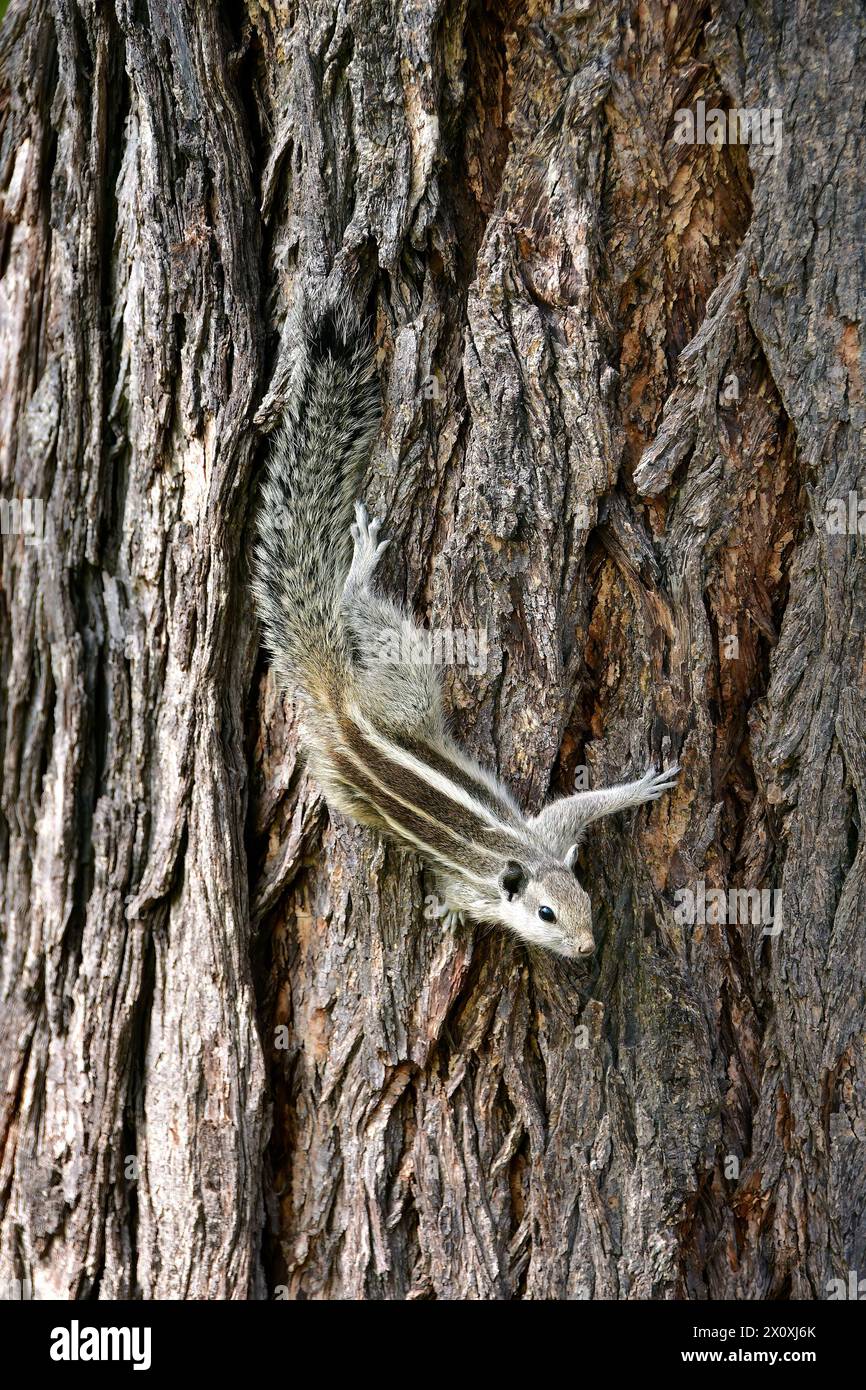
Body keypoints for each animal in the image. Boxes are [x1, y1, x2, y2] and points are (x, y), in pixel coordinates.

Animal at [252, 299, 679, 959]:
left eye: (584, 898)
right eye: (546, 914)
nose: (586, 949)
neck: (517, 860)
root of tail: (344, 713)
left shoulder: (547, 834)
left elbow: (583, 805)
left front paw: (637, 789)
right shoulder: (493, 870)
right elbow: (533, 838)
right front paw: (452, 919)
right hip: (407, 694)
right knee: (361, 612)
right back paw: (359, 572)